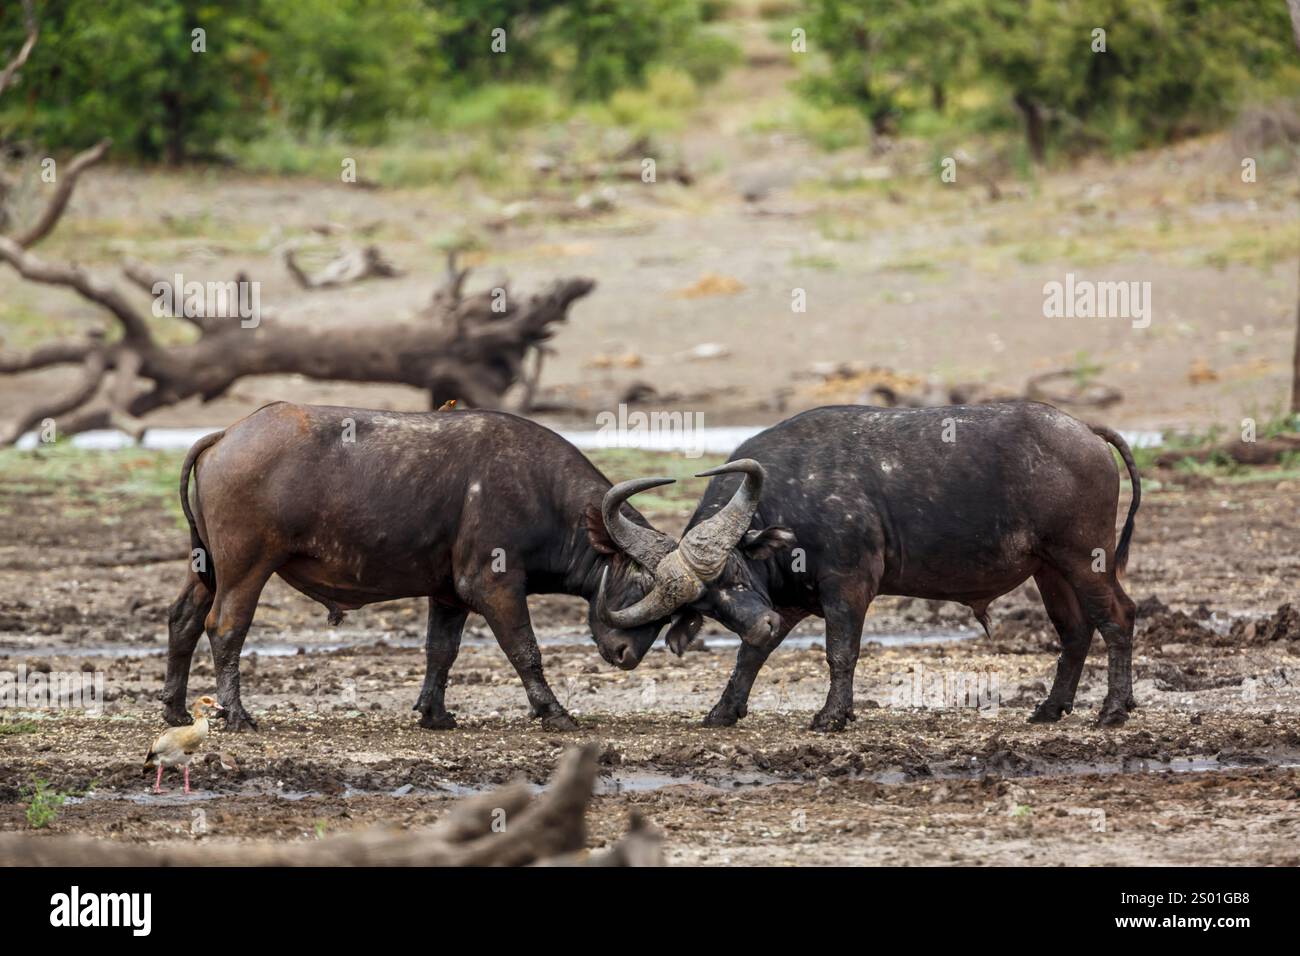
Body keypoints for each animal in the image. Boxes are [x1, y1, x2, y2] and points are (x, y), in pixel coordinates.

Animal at [159, 401, 759, 731]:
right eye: (639, 582)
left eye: (675, 612)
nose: (624, 656)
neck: (540, 492)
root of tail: (228, 434)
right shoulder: (493, 586)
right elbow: (525, 650)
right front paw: (554, 712)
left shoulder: (447, 594)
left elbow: (440, 651)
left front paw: (435, 714)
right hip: (246, 569)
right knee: (225, 627)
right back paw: (237, 716)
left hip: (206, 568)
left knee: (183, 620)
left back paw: (176, 711)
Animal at [597, 402, 1142, 731]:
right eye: (706, 605)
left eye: (732, 572)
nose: (760, 621)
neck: (788, 502)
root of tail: (1083, 430)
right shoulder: (787, 603)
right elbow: (752, 656)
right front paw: (724, 710)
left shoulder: (848, 586)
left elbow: (840, 652)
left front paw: (832, 716)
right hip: (1049, 569)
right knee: (1075, 631)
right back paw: (1050, 708)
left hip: (1083, 558)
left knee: (1117, 617)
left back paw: (1113, 710)